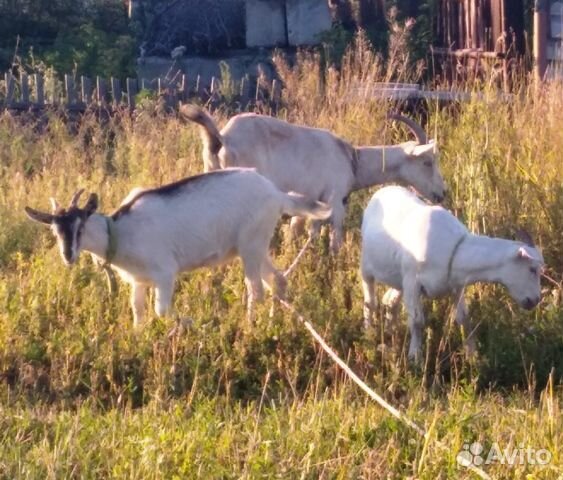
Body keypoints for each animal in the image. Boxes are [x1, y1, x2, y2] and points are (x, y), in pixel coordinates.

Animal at [26, 168, 332, 326]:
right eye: (55, 231)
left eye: (80, 227)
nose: (68, 255)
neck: (119, 233)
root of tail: (277, 194)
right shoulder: (138, 280)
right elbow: (138, 310)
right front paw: (138, 338)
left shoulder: (164, 272)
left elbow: (161, 310)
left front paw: (190, 323)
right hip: (255, 244)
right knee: (276, 280)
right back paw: (272, 321)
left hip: (251, 243)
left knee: (255, 289)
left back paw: (250, 326)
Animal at [181, 105, 446, 253]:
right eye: (427, 162)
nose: (441, 194)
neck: (352, 160)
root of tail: (222, 140)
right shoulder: (335, 202)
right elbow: (335, 241)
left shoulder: (312, 206)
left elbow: (307, 235)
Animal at [362, 186, 548, 362]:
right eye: (532, 269)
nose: (535, 300)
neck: (454, 249)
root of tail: (383, 190)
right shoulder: (412, 282)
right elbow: (417, 321)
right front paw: (415, 358)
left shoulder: (456, 286)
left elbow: (464, 319)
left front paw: (472, 357)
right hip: (367, 267)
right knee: (370, 302)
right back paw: (369, 334)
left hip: (397, 278)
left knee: (389, 301)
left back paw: (389, 335)